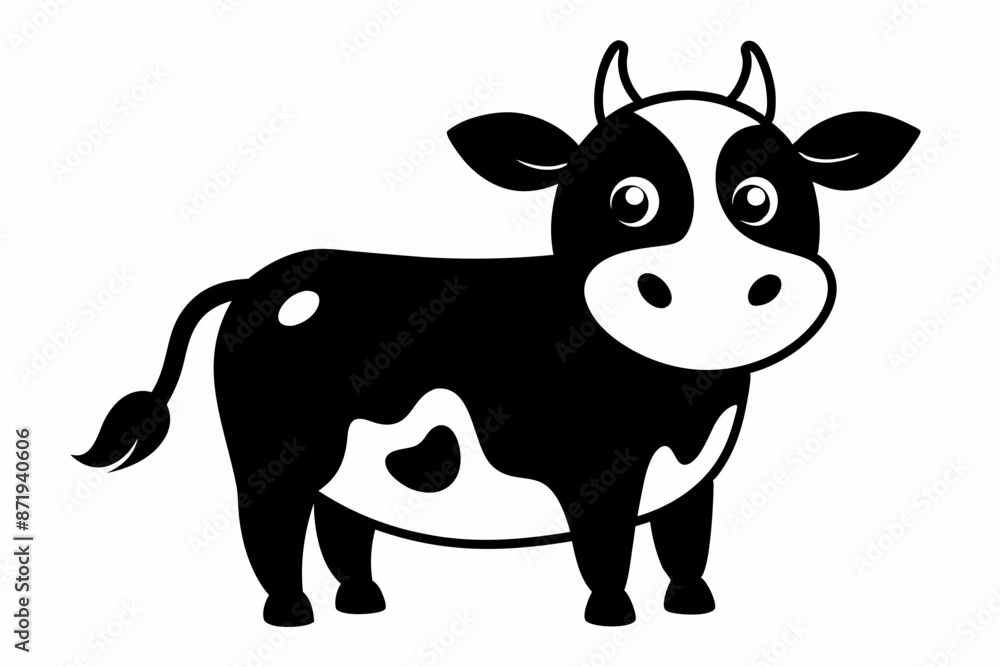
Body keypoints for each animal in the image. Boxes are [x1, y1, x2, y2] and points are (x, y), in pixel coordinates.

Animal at [76, 41, 918, 628]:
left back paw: (363, 602)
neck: (684, 395)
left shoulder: (695, 470)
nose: (720, 283)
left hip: (342, 461)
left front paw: (692, 606)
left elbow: (686, 538)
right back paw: (293, 614)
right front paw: (613, 616)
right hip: (269, 451)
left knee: (343, 526)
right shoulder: (594, 465)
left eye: (759, 197)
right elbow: (606, 547)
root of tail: (257, 281)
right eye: (630, 199)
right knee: (272, 530)